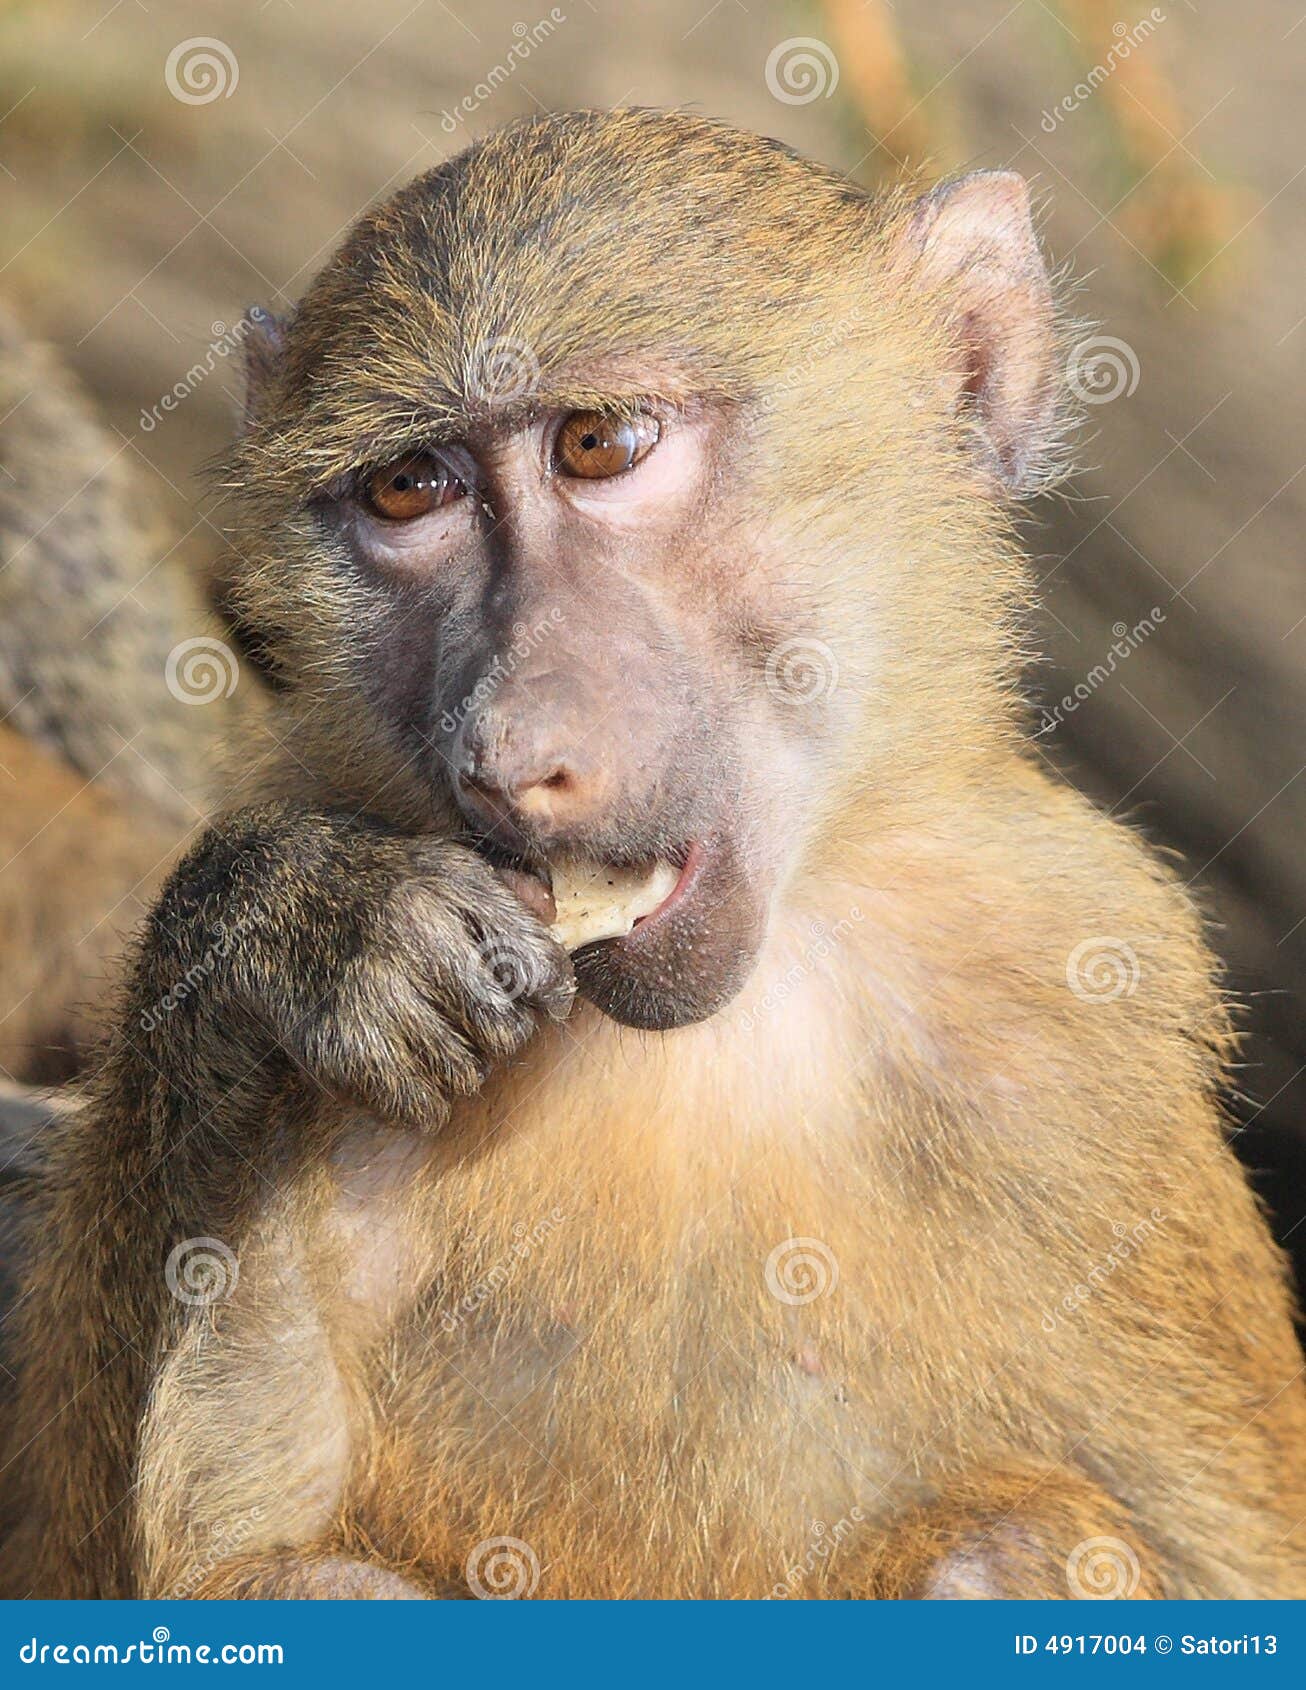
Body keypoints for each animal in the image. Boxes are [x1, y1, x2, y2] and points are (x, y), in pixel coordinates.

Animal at [3, 107, 1304, 1601]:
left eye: (599, 443)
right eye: (408, 487)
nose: (507, 750)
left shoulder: (1085, 1008)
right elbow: (229, 1566)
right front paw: (302, 928)